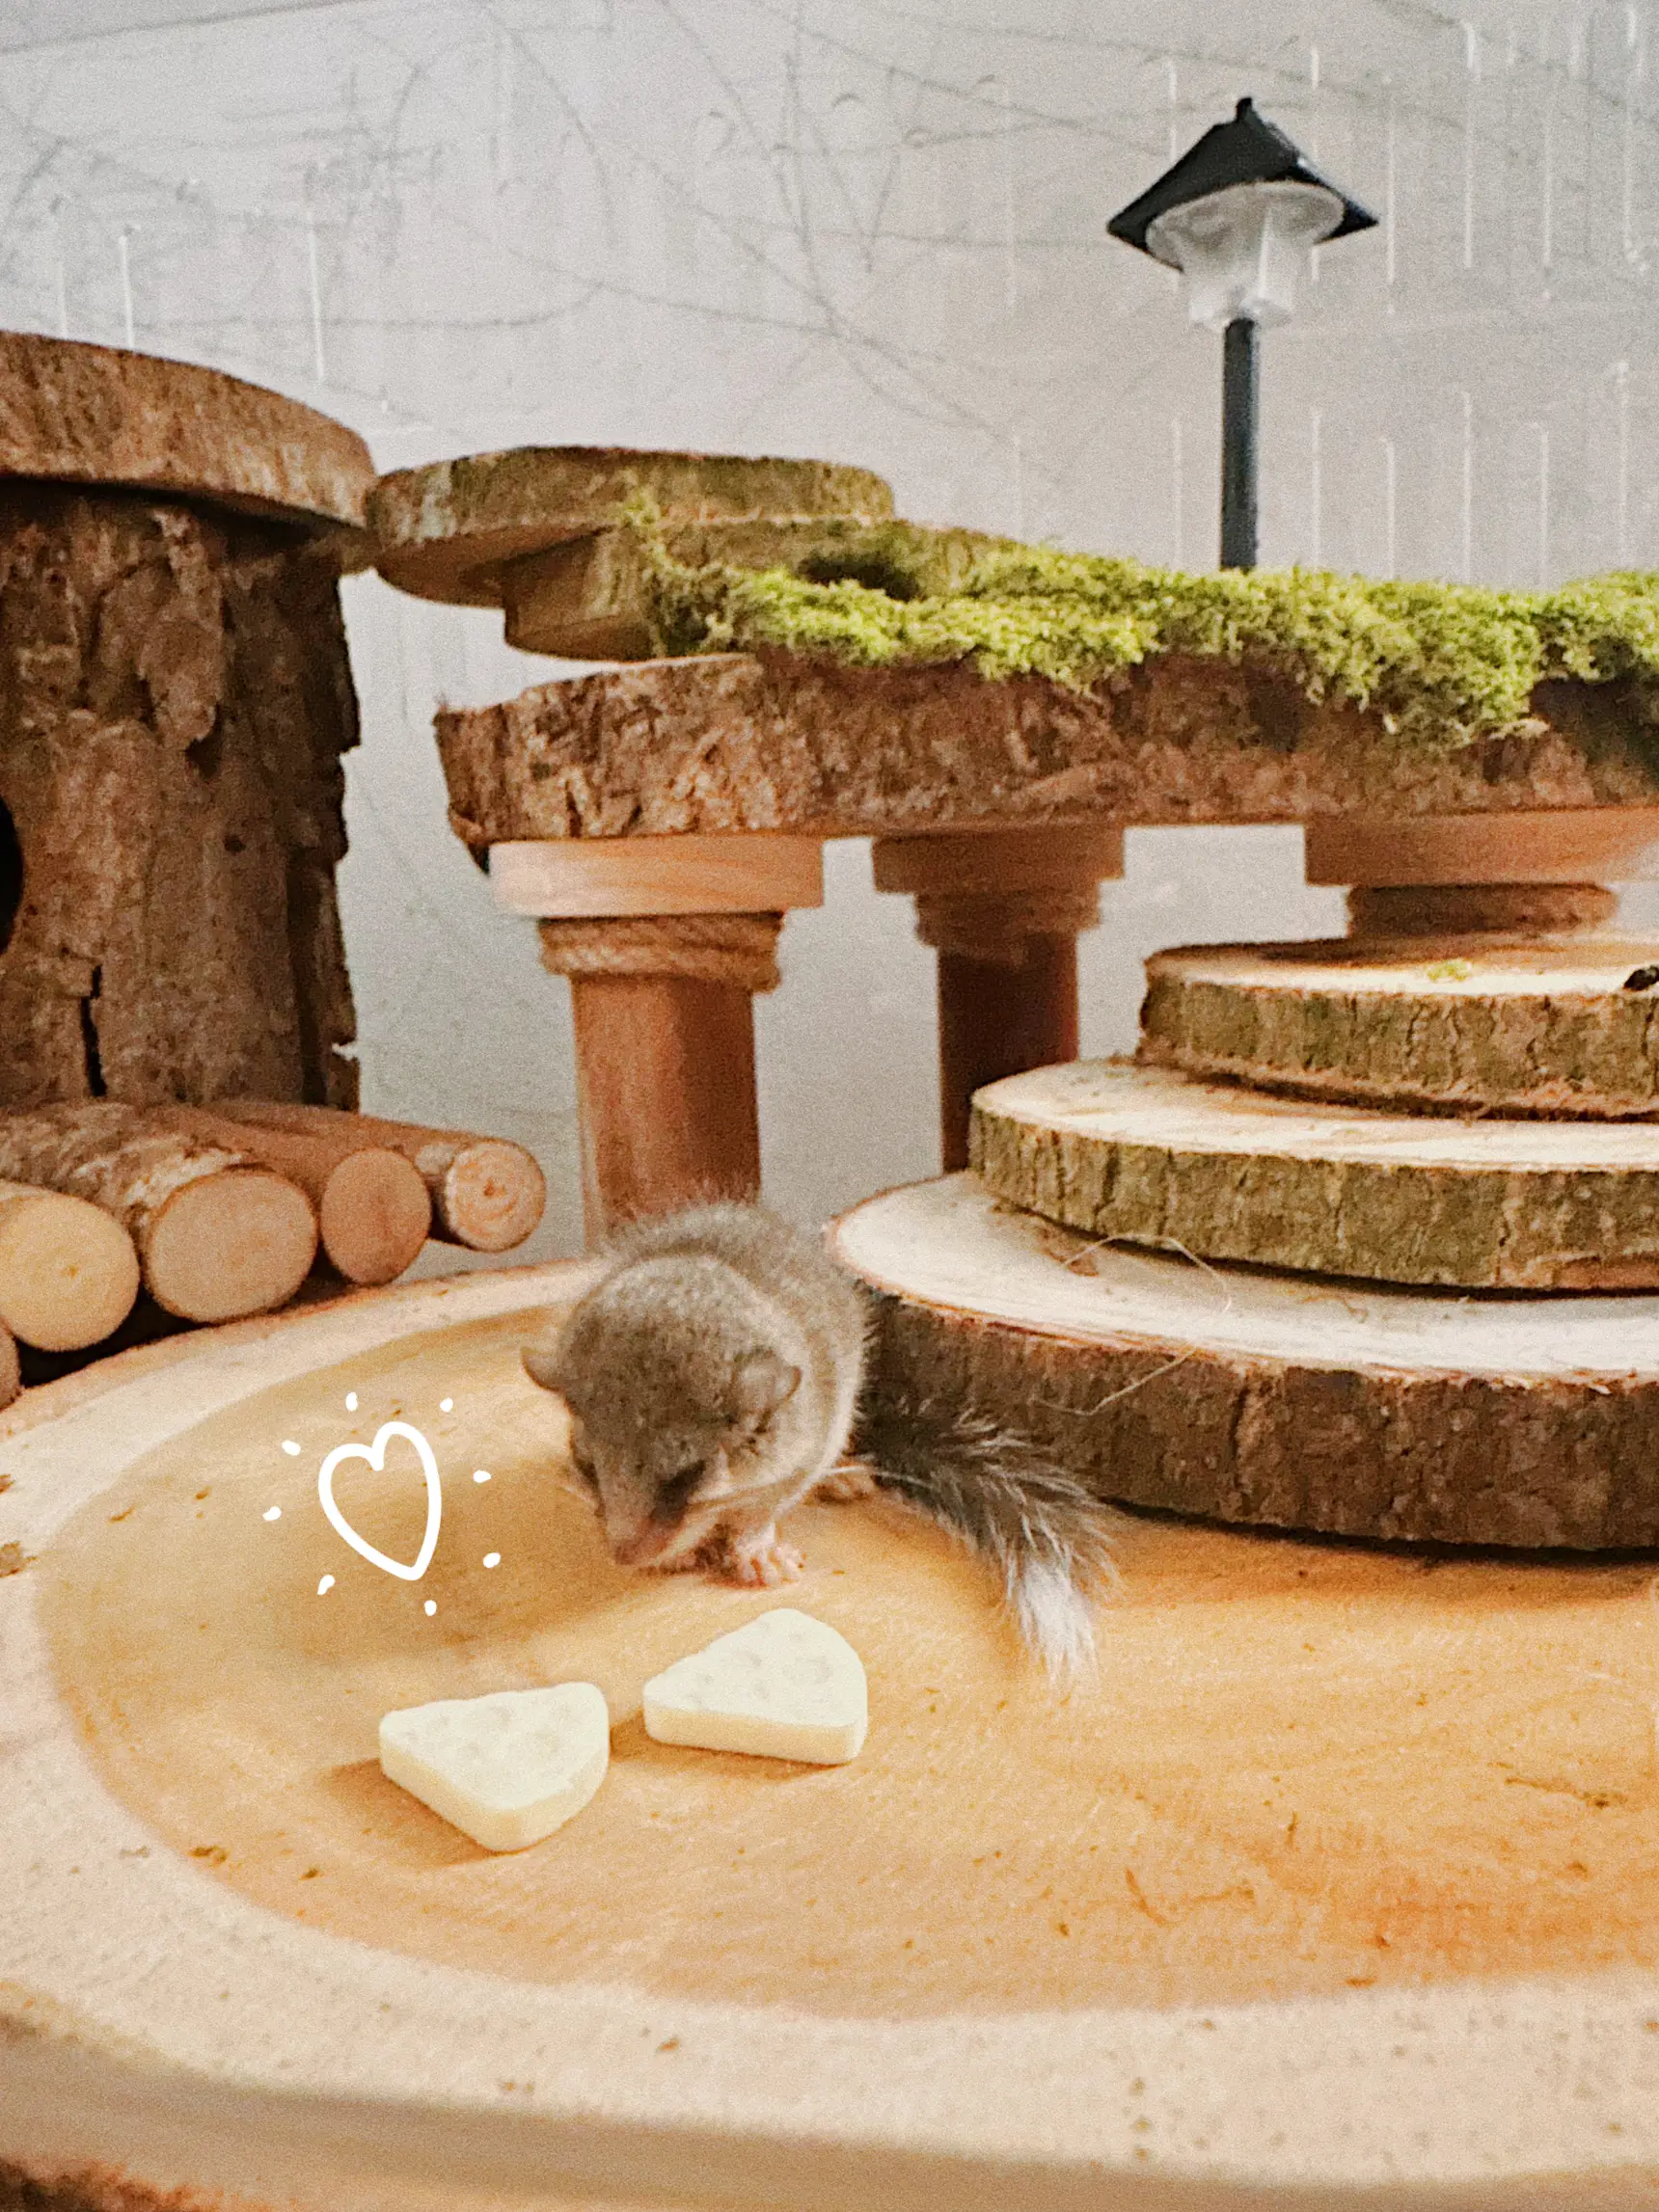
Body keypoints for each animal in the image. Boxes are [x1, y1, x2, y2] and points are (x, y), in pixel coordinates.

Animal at [521, 1201, 1118, 1673]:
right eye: (586, 1466)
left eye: (689, 1474)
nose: (624, 1557)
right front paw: (673, 1558)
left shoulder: (796, 1464)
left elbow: (758, 1517)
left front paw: (762, 1559)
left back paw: (846, 1479)